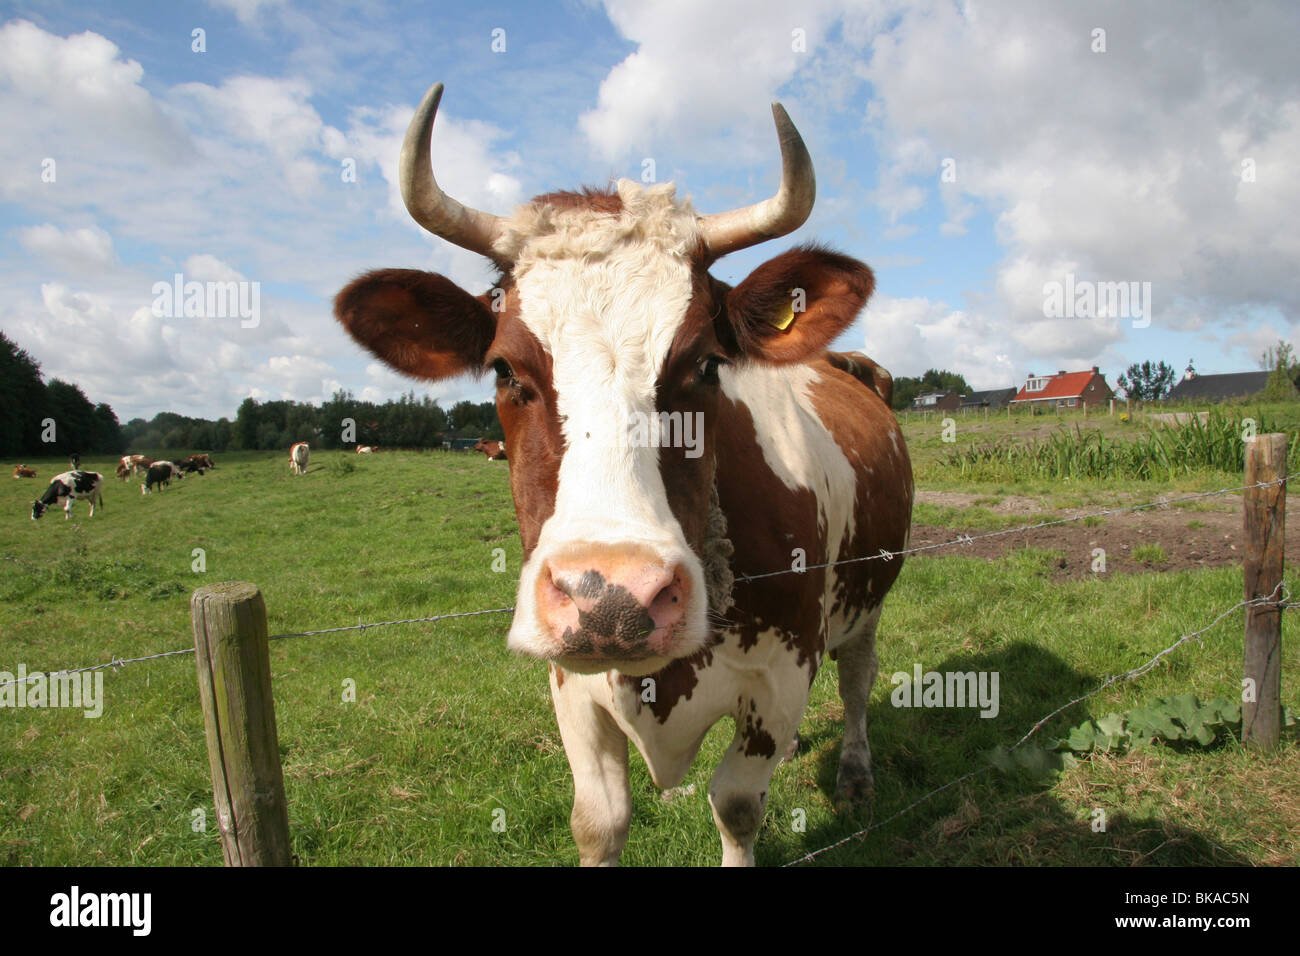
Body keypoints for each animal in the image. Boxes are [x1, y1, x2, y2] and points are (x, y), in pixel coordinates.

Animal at [333, 83, 913, 866]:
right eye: (504, 369)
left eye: (706, 364)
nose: (612, 598)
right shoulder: (572, 687)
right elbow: (599, 819)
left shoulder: (783, 677)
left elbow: (736, 805)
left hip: (868, 598)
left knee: (857, 679)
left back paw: (854, 769)